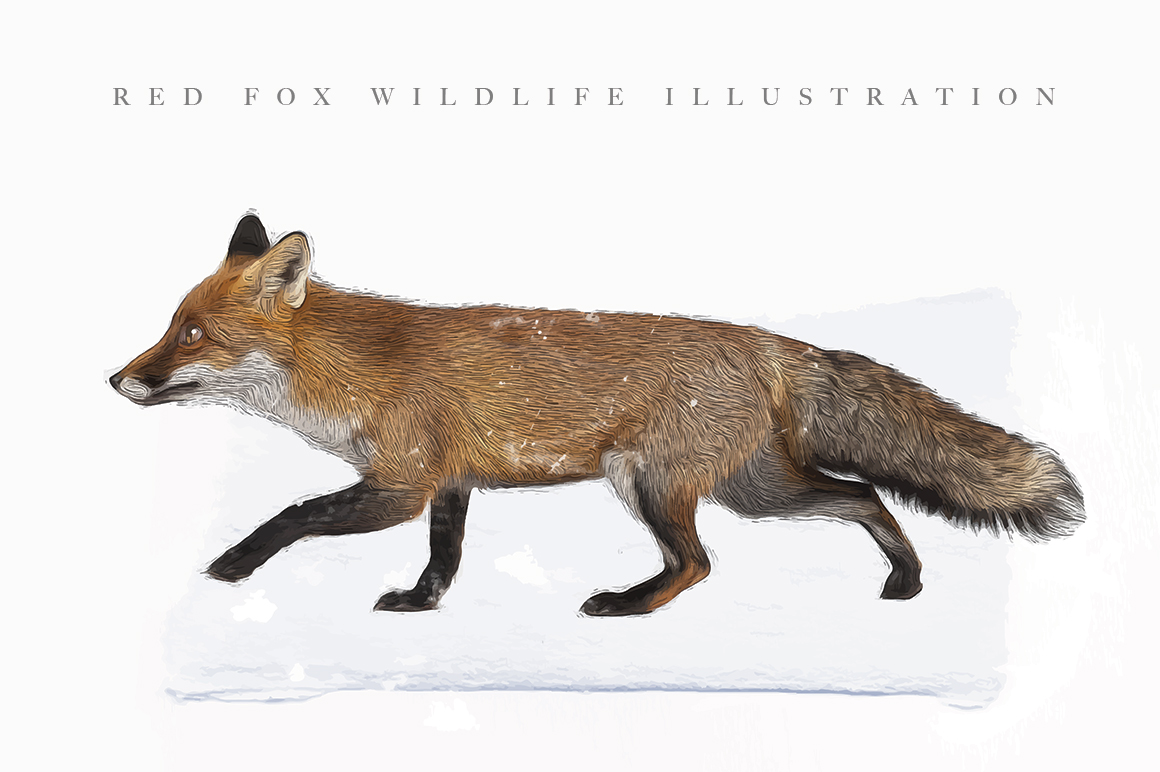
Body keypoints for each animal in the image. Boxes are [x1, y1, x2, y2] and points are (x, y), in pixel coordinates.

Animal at [110, 214, 1084, 616]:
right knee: (864, 496)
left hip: (651, 482)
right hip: (758, 489)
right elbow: (445, 557)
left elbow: (292, 515)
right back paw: (906, 582)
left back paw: (628, 605)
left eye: (191, 334)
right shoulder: (452, 483)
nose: (116, 379)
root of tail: (767, 342)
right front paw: (421, 605)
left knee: (699, 563)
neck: (349, 366)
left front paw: (230, 567)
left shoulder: (399, 484)